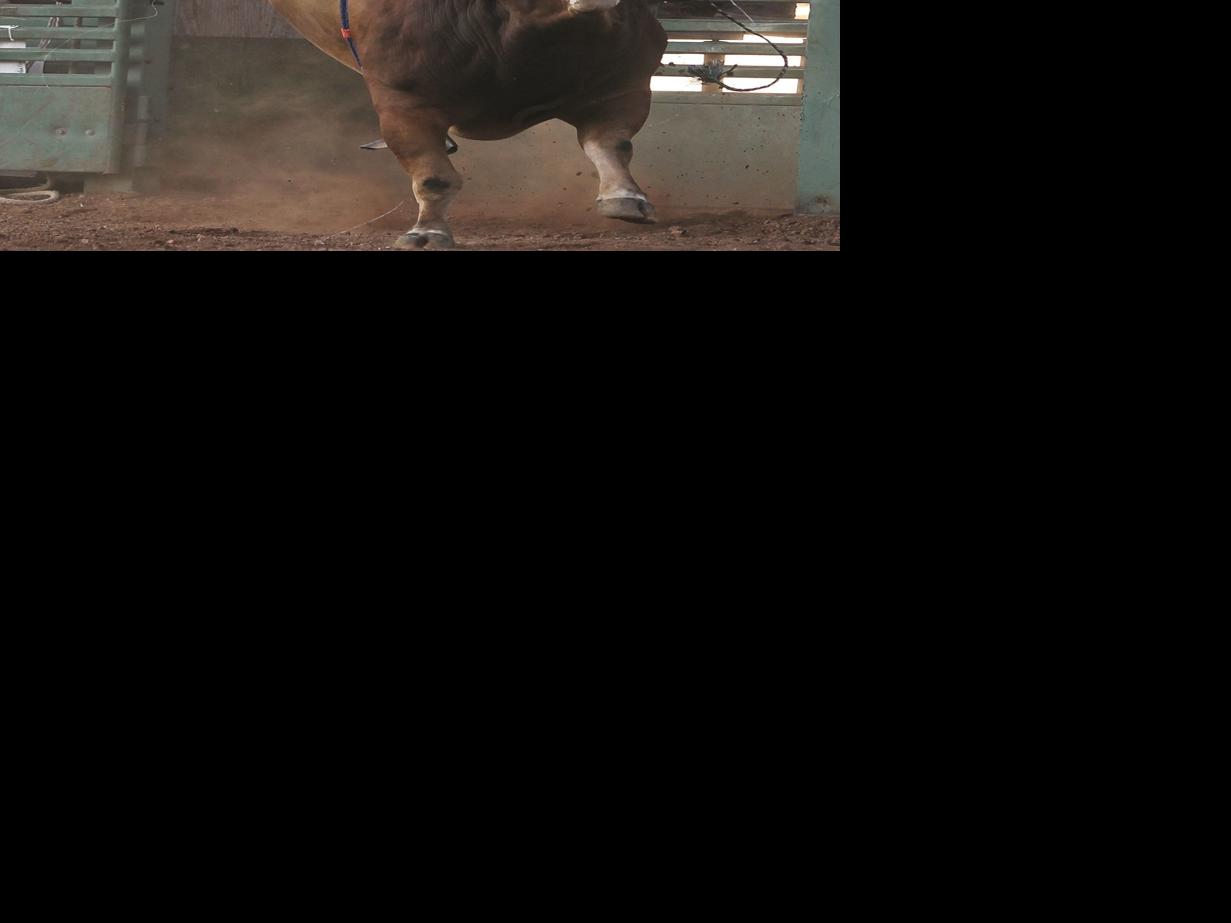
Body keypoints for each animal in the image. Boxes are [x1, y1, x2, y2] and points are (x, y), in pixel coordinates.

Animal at [267, 0, 669, 248]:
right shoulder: (403, 103)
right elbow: (433, 176)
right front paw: (426, 232)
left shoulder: (624, 85)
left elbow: (611, 145)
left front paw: (625, 198)